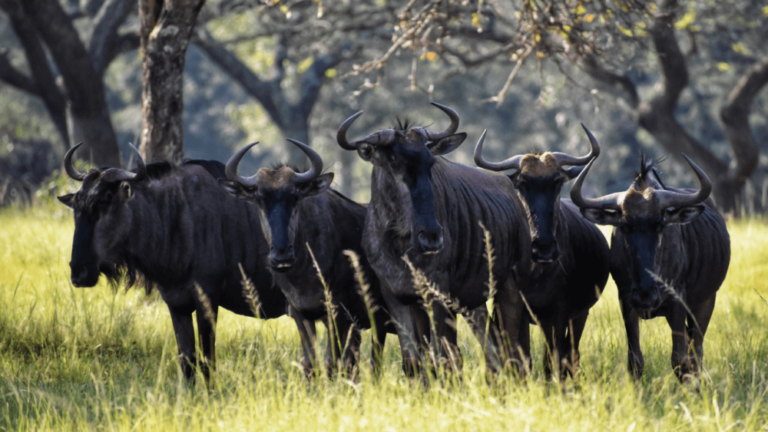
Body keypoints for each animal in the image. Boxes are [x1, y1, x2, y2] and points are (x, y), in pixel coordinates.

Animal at [57, 143, 288, 384]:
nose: (79, 273)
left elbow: (207, 360)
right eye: (76, 206)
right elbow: (187, 361)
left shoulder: (207, 299)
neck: (173, 218)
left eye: (105, 201)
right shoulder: (177, 305)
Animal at [219, 138, 393, 377]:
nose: (281, 255)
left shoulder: (338, 315)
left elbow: (332, 363)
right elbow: (310, 364)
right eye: (260, 200)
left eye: (294, 197)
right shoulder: (301, 314)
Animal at [336, 103, 533, 376]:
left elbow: (447, 358)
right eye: (394, 162)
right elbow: (414, 361)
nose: (431, 238)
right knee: (493, 348)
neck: (400, 247)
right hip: (473, 303)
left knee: (514, 347)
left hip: (511, 287)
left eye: (430, 163)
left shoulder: (437, 295)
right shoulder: (397, 297)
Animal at [473, 124, 610, 380]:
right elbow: (522, 359)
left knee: (570, 355)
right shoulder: (514, 309)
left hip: (580, 315)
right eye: (522, 184)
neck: (535, 273)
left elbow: (554, 360)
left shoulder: (559, 313)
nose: (544, 248)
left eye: (557, 183)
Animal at [570, 152, 730, 381]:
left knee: (696, 353)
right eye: (625, 226)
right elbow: (635, 360)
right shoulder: (627, 301)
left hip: (706, 302)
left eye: (659, 224)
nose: (645, 296)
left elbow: (680, 361)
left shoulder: (678, 303)